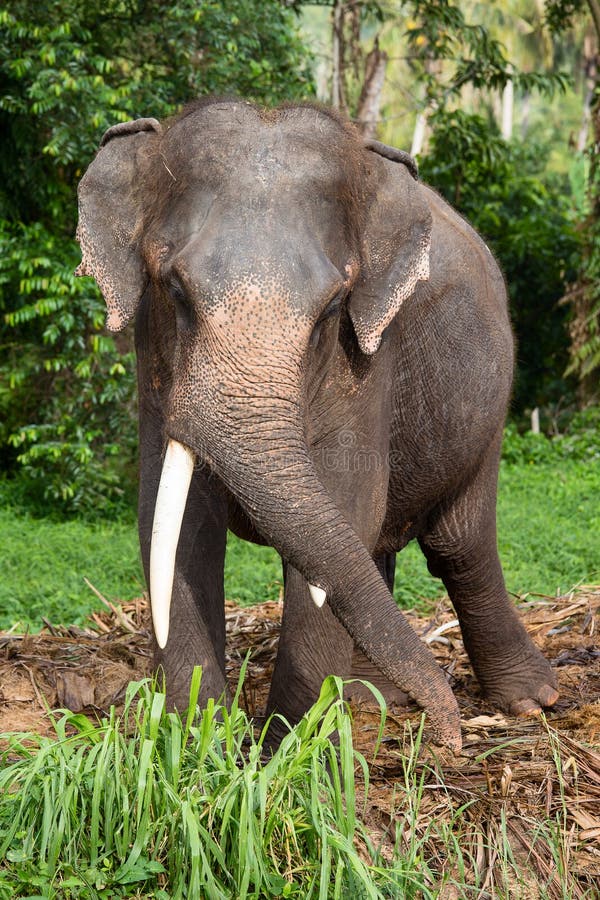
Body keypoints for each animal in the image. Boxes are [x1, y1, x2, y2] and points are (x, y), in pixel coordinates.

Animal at [76, 97, 559, 751]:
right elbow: (172, 524)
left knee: (459, 545)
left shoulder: (367, 363)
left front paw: (291, 754)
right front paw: (200, 746)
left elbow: (348, 502)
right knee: (376, 550)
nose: (452, 732)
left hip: (489, 411)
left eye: (332, 306)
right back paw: (369, 697)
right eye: (174, 290)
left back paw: (531, 701)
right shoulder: (153, 381)